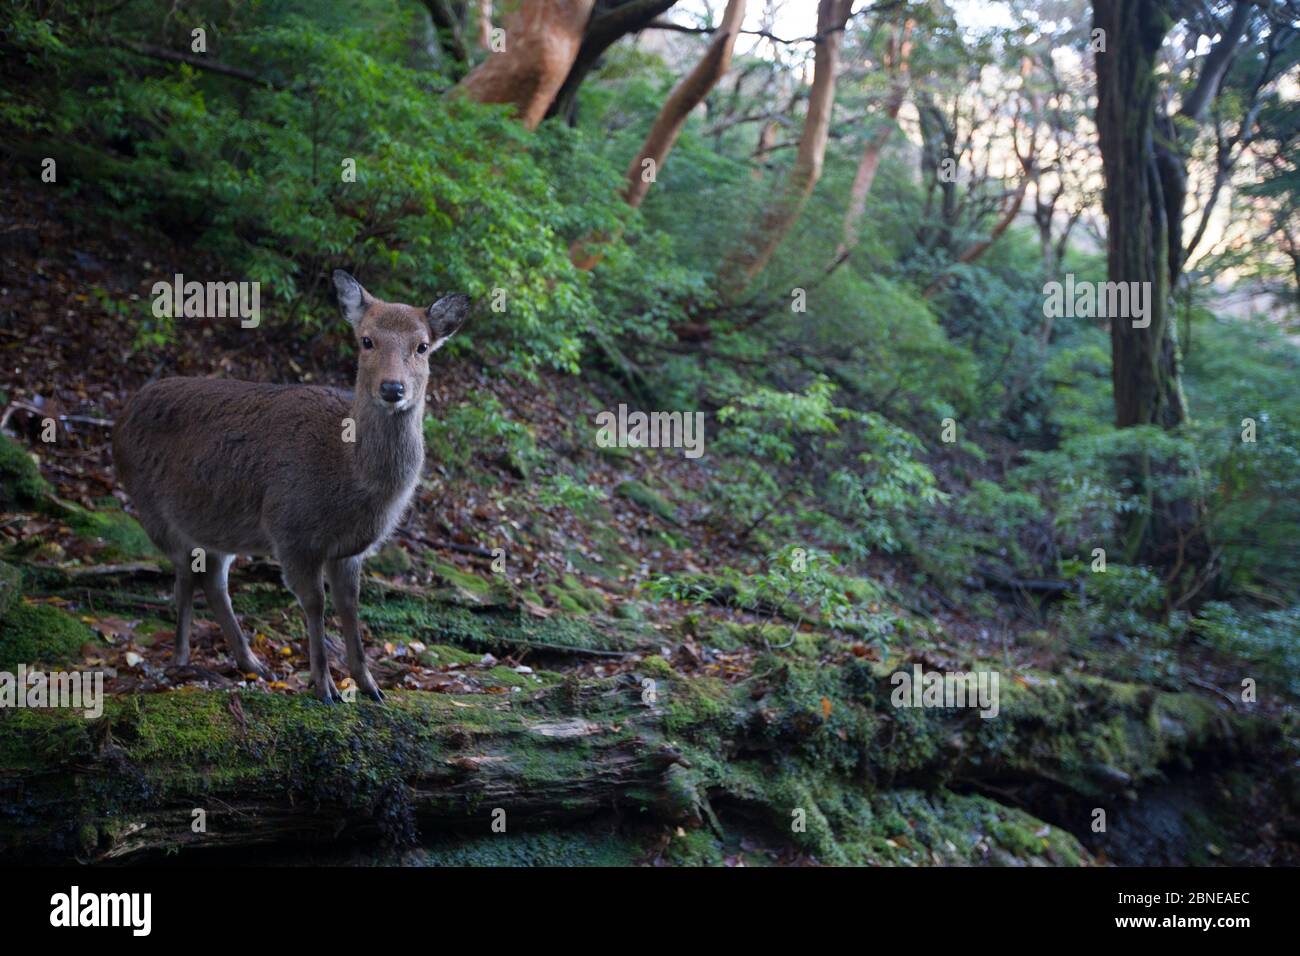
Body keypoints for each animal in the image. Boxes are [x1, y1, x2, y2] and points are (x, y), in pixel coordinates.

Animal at [112, 271, 469, 702]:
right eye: (366, 340)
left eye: (422, 346)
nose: (392, 389)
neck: (351, 479)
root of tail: (119, 419)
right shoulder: (291, 531)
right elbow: (315, 603)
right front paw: (324, 686)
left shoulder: (351, 550)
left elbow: (350, 606)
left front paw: (369, 684)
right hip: (154, 512)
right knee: (183, 577)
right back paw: (181, 659)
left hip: (217, 527)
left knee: (212, 579)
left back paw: (252, 663)